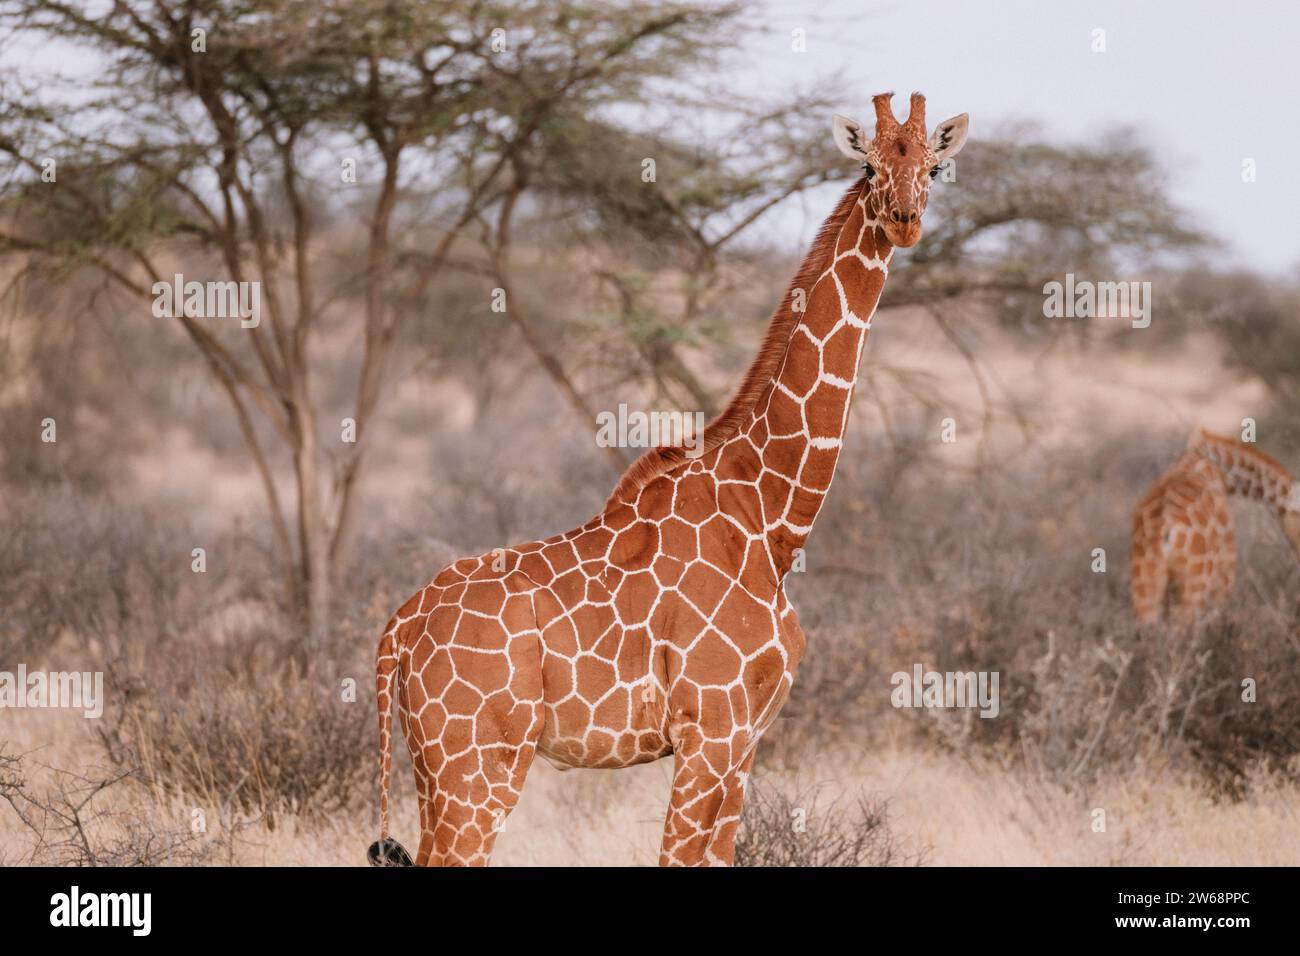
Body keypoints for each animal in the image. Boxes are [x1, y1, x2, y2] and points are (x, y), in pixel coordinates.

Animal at [368, 92, 970, 867]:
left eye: (934, 166)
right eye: (869, 164)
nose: (904, 219)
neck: (771, 515)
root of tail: (398, 630)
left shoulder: (746, 741)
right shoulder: (708, 729)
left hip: (432, 767)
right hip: (478, 764)